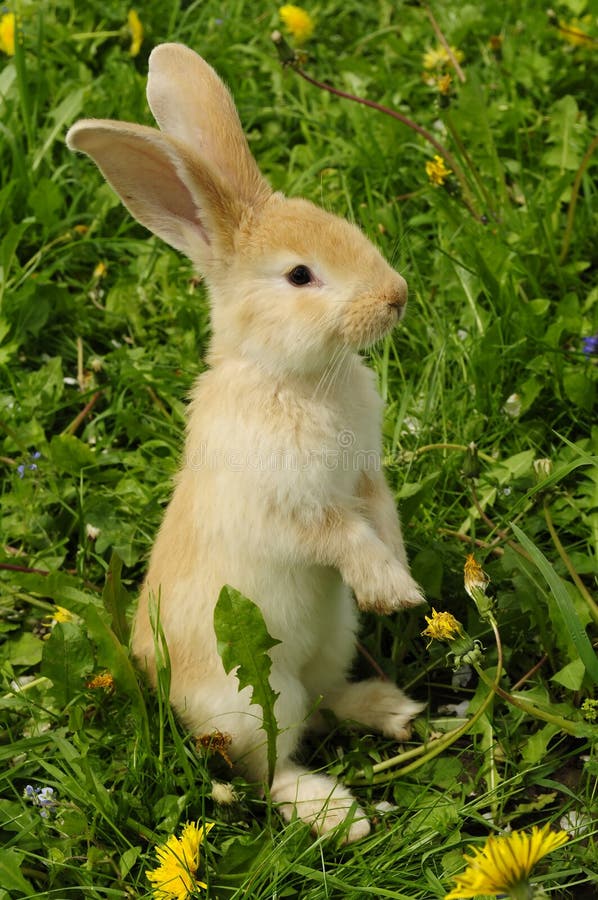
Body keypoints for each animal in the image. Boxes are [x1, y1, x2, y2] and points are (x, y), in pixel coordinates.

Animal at [66, 43, 426, 843]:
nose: (396, 296)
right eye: (299, 275)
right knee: (269, 765)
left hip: (330, 642)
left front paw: (402, 579)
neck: (290, 379)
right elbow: (341, 536)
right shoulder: (289, 505)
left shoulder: (366, 477)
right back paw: (335, 812)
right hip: (257, 693)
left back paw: (393, 711)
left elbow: (380, 516)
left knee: (326, 704)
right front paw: (394, 590)